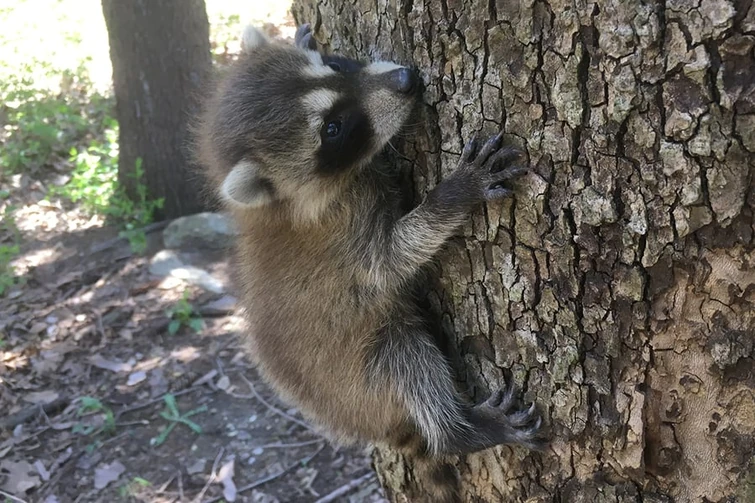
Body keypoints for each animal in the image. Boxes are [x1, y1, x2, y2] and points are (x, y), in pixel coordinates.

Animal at [197, 24, 544, 502]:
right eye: (333, 128)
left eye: (334, 65)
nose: (406, 79)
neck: (281, 206)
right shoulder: (344, 228)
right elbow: (391, 259)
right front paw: (455, 193)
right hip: (369, 369)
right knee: (410, 361)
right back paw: (459, 430)